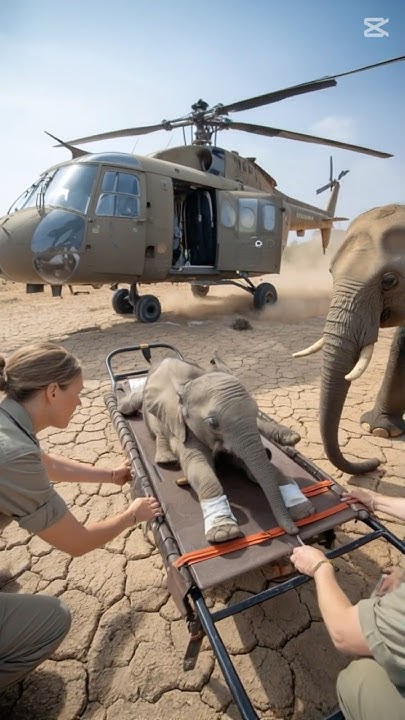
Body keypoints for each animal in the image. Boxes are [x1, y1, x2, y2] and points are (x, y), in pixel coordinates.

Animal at [117, 356, 315, 543]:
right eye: (212, 423)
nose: (294, 532)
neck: (187, 387)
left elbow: (258, 463)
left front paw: (302, 509)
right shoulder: (183, 429)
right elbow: (199, 467)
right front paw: (224, 533)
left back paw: (289, 437)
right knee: (143, 416)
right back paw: (165, 458)